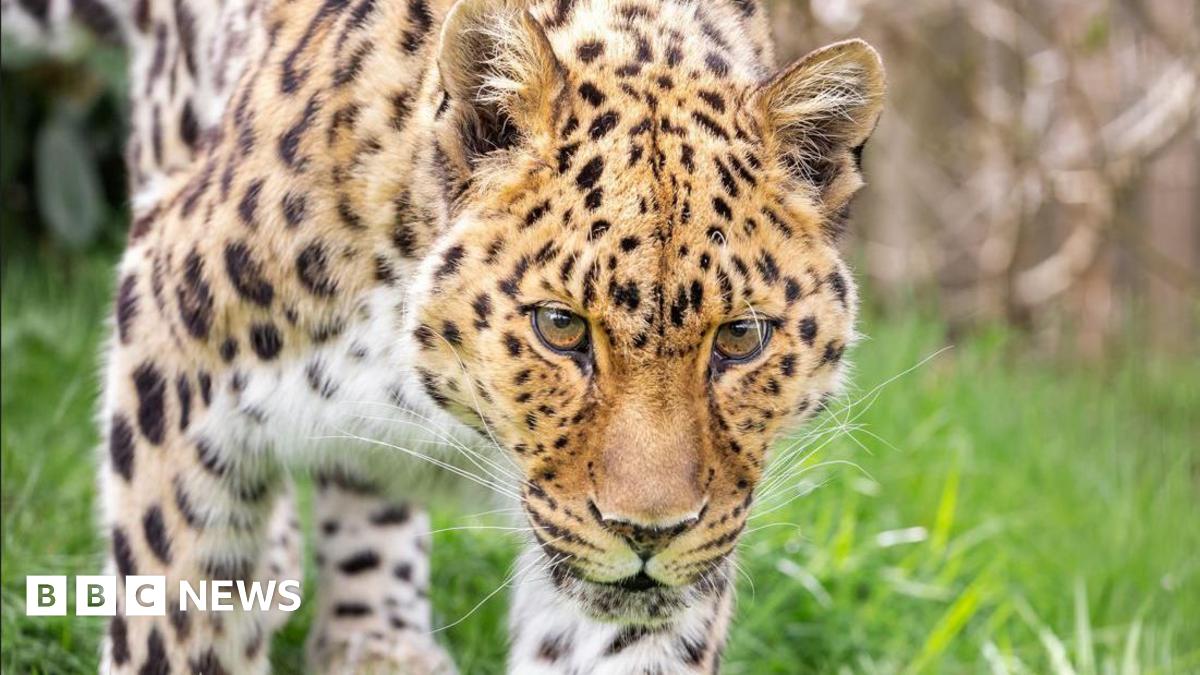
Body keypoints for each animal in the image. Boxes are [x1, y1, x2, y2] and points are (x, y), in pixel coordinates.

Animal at [4, 0, 884, 672]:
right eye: (559, 326)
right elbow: (179, 612)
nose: (649, 532)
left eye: (741, 338)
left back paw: (377, 638)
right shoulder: (168, 339)